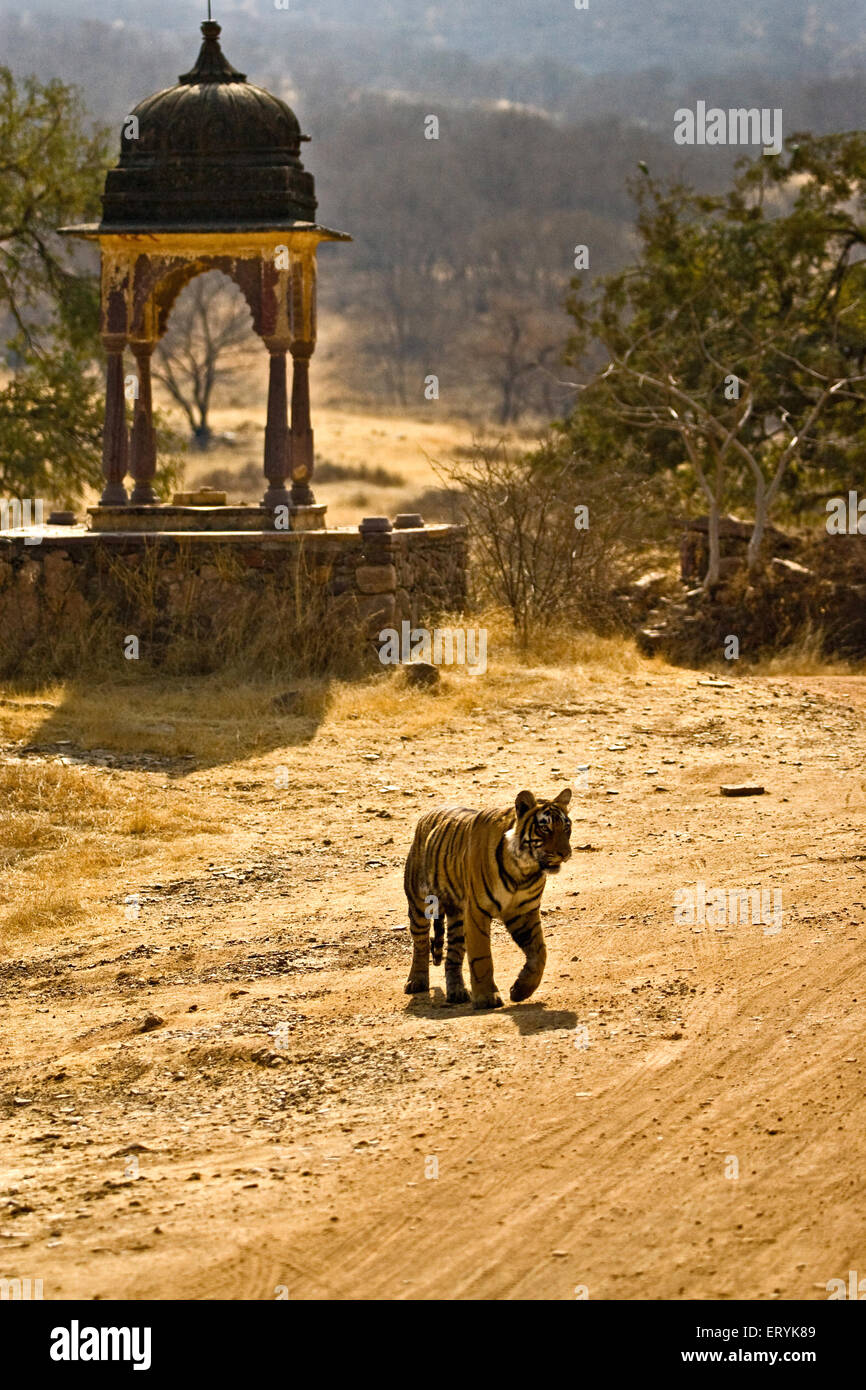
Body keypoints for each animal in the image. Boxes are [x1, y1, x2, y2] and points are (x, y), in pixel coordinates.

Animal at [403, 788, 573, 1010]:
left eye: (567, 827)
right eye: (545, 828)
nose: (565, 853)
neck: (524, 870)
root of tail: (427, 815)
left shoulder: (523, 912)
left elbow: (540, 953)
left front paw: (521, 990)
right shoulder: (477, 911)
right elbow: (482, 956)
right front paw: (486, 997)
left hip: (457, 918)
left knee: (453, 956)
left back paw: (457, 992)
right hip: (419, 904)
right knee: (421, 944)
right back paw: (417, 981)